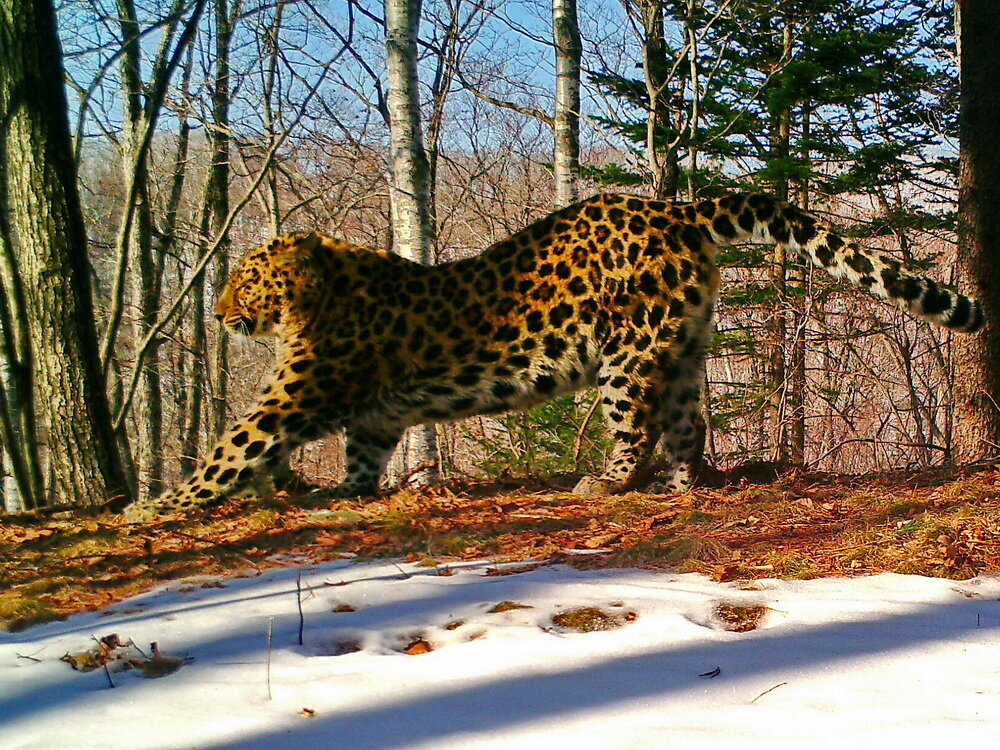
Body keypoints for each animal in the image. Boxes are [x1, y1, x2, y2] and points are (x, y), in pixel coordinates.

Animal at [119, 194, 984, 524]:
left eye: (243, 280)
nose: (220, 314)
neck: (315, 296)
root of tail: (676, 206)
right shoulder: (372, 415)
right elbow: (361, 456)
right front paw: (345, 494)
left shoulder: (296, 394)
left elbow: (229, 449)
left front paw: (155, 507)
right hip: (681, 345)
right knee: (687, 427)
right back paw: (677, 487)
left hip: (627, 351)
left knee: (635, 427)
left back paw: (603, 483)